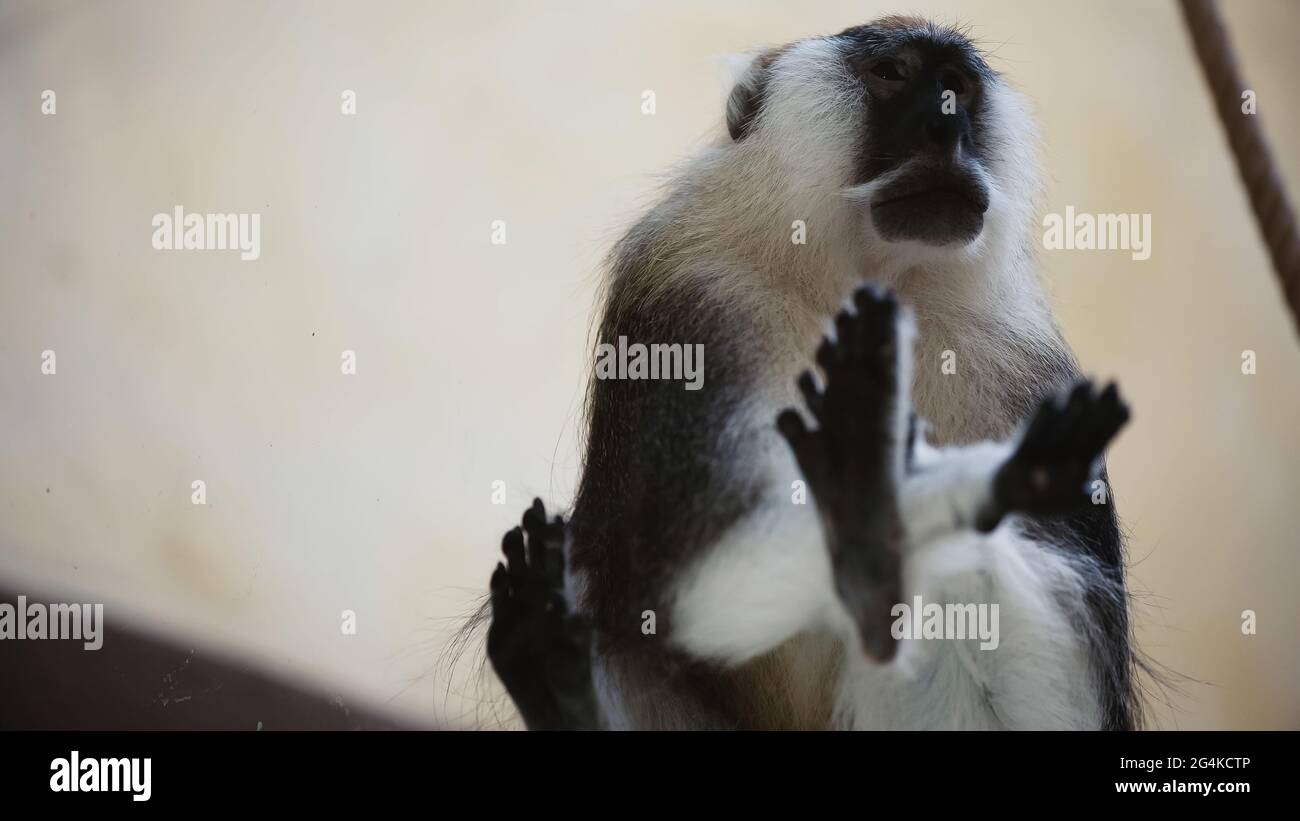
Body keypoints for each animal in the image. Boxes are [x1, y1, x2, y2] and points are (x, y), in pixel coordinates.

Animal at [482, 16, 1140, 731]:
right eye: (892, 75)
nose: (946, 127)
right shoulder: (697, 299)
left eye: (956, 87)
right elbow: (704, 582)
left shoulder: (1019, 358)